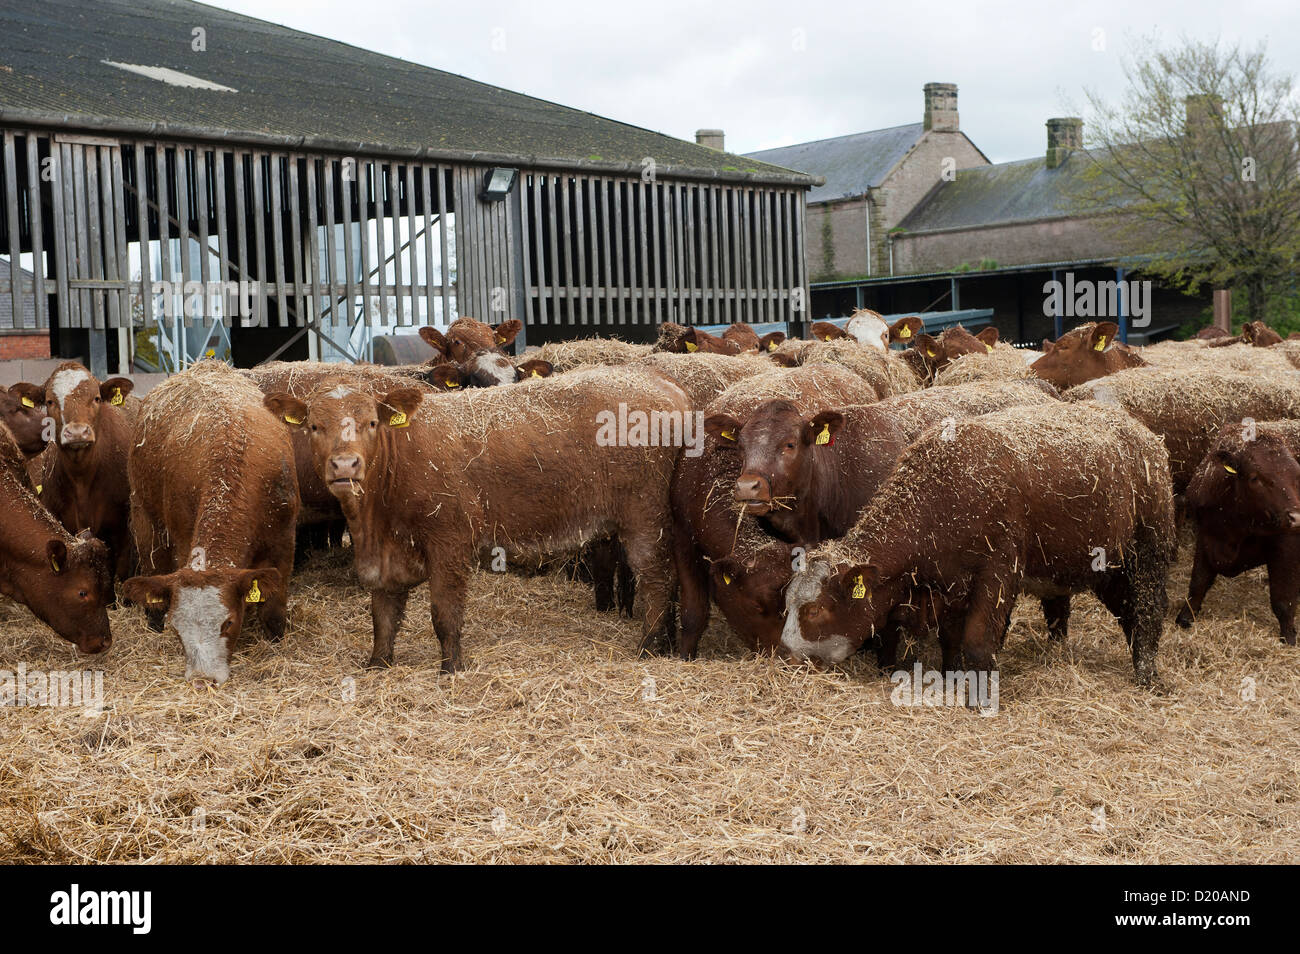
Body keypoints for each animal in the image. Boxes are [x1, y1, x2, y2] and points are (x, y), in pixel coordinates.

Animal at [122, 362, 299, 684]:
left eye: (228, 623)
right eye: (177, 628)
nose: (203, 679)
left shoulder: (284, 541)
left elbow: (274, 611)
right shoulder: (182, 538)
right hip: (144, 515)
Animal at [263, 365, 691, 670]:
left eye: (370, 422)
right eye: (314, 426)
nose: (345, 465)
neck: (374, 522)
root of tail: (660, 381)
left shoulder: (449, 542)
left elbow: (444, 613)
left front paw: (451, 667)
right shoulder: (383, 557)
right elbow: (382, 615)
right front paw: (377, 663)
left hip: (646, 518)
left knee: (658, 579)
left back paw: (647, 647)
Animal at [778, 401, 1175, 688]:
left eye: (815, 610)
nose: (786, 655)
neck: (944, 493)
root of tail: (1143, 435)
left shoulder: (998, 573)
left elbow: (978, 643)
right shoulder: (952, 584)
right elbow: (952, 639)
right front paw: (953, 679)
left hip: (1148, 553)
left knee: (1148, 611)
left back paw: (1147, 676)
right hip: (1107, 568)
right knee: (1125, 613)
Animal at [1177, 420, 1300, 644]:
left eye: (1297, 476)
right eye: (1255, 478)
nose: (1296, 517)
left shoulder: (1287, 546)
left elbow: (1283, 600)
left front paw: (1288, 637)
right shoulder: (1206, 537)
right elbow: (1198, 582)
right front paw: (1185, 617)